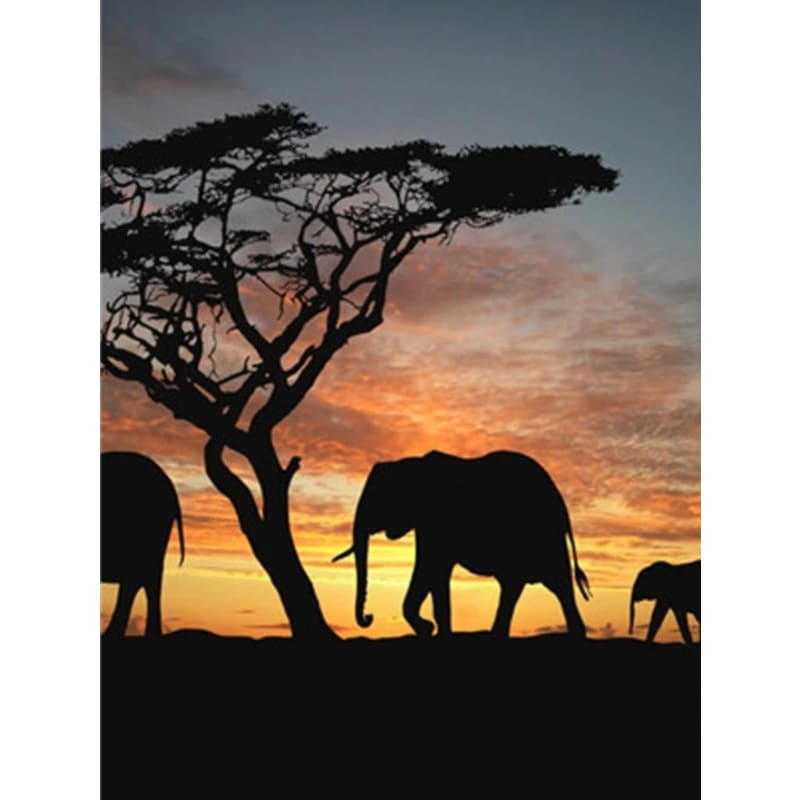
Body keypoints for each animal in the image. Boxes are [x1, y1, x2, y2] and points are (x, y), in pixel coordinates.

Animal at [333, 450, 591, 638]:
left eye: (378, 499)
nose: (369, 617)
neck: (411, 463)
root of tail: (561, 504)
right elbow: (431, 572)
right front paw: (431, 631)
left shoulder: (436, 519)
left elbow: (431, 567)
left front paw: (431, 630)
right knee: (524, 584)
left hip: (543, 536)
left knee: (554, 583)